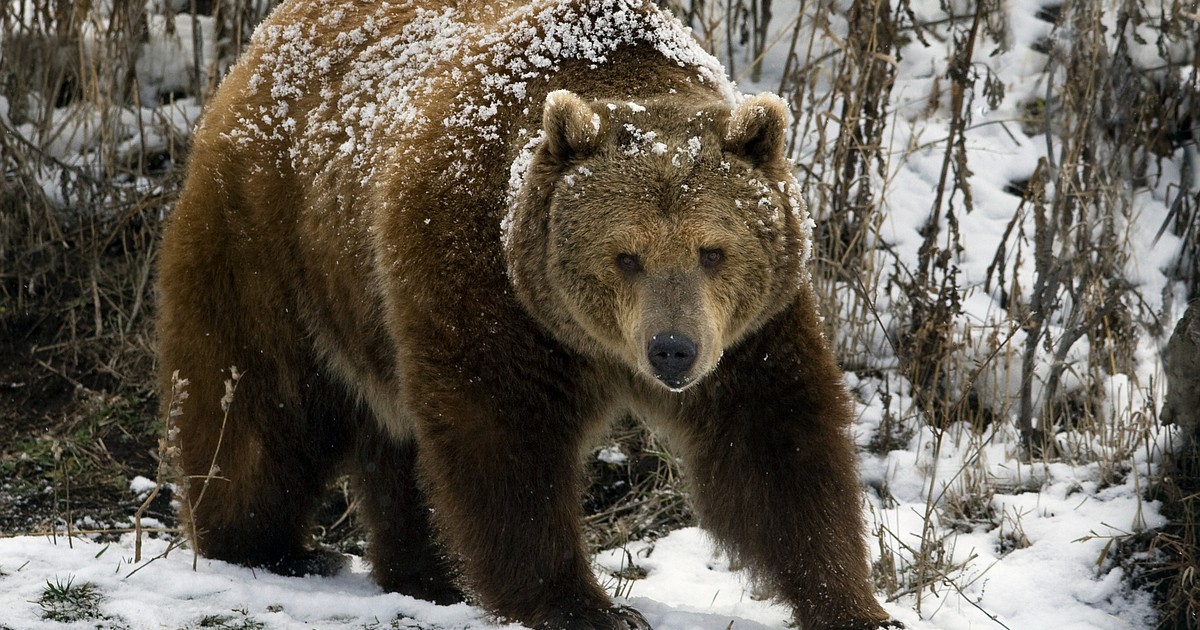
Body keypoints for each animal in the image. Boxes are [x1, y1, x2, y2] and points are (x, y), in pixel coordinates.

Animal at [155, 0, 897, 628]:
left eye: (712, 250)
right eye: (626, 256)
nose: (672, 349)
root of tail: (263, 42)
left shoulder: (750, 331)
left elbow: (776, 446)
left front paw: (853, 603)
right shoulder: (484, 281)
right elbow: (503, 440)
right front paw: (586, 606)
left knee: (393, 441)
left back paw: (423, 575)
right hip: (273, 240)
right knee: (258, 397)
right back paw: (270, 546)